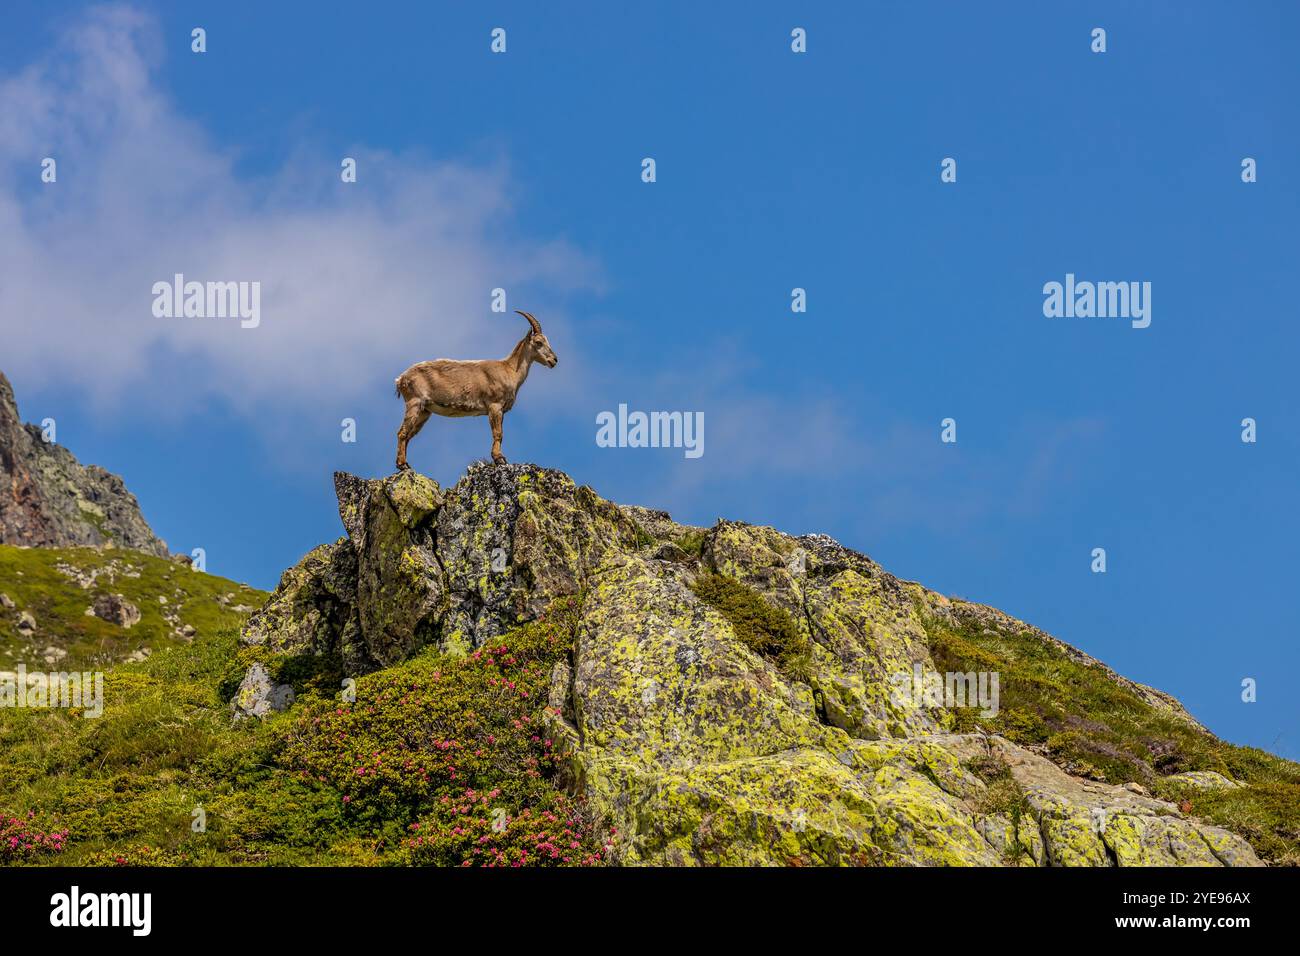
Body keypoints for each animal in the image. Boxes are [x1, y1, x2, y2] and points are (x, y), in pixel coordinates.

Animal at [393, 310, 558, 470]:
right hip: (414, 402)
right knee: (402, 432)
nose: (554, 360)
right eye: (538, 342)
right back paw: (402, 465)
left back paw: (405, 464)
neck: (510, 370)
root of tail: (401, 379)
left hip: (425, 411)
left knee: (409, 435)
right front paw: (499, 459)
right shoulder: (494, 406)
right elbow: (498, 433)